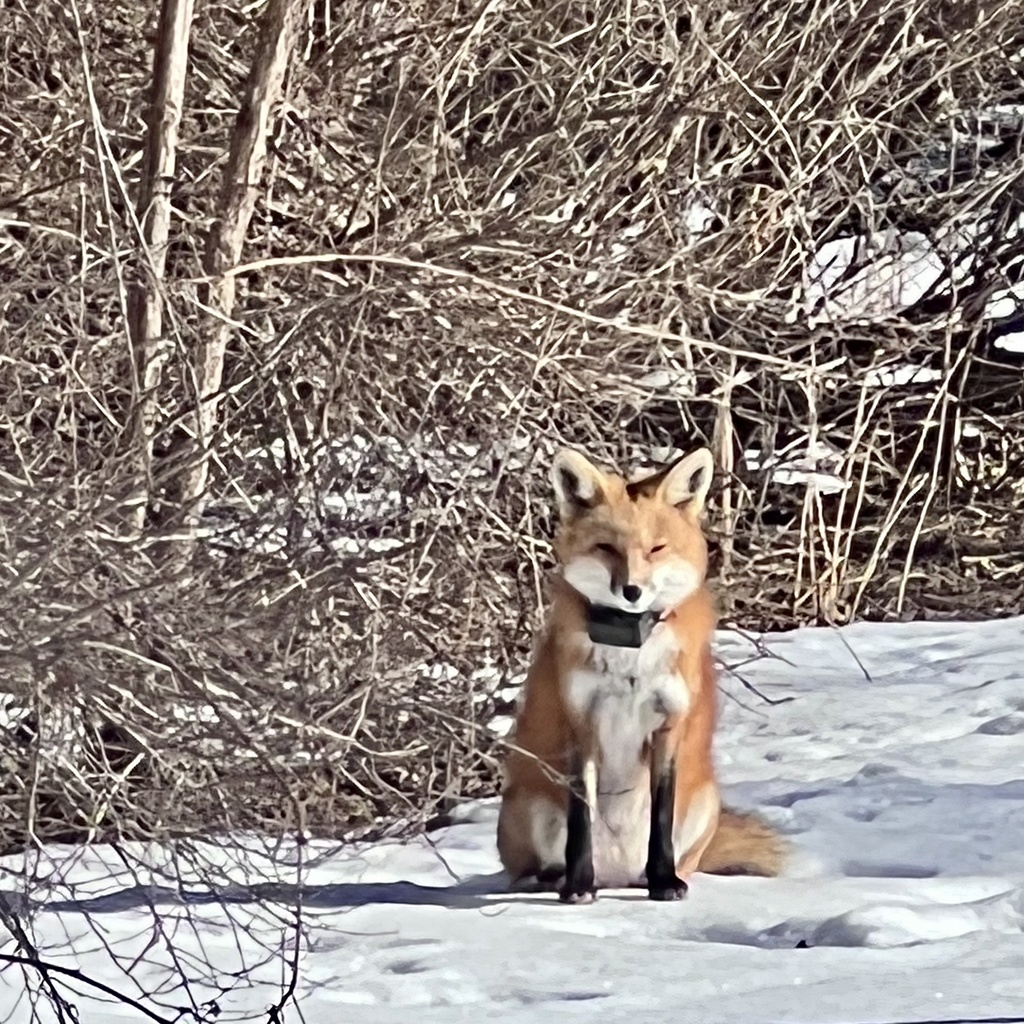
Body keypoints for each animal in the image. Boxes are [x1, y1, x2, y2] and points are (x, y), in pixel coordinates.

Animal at [496, 445, 786, 903]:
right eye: (606, 548)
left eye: (657, 549)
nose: (631, 591)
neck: (629, 654)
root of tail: (616, 873)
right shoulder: (581, 725)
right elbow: (581, 821)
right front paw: (578, 886)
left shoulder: (668, 725)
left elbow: (660, 822)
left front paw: (663, 881)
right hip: (529, 803)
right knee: (525, 868)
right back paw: (553, 877)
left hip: (705, 800)